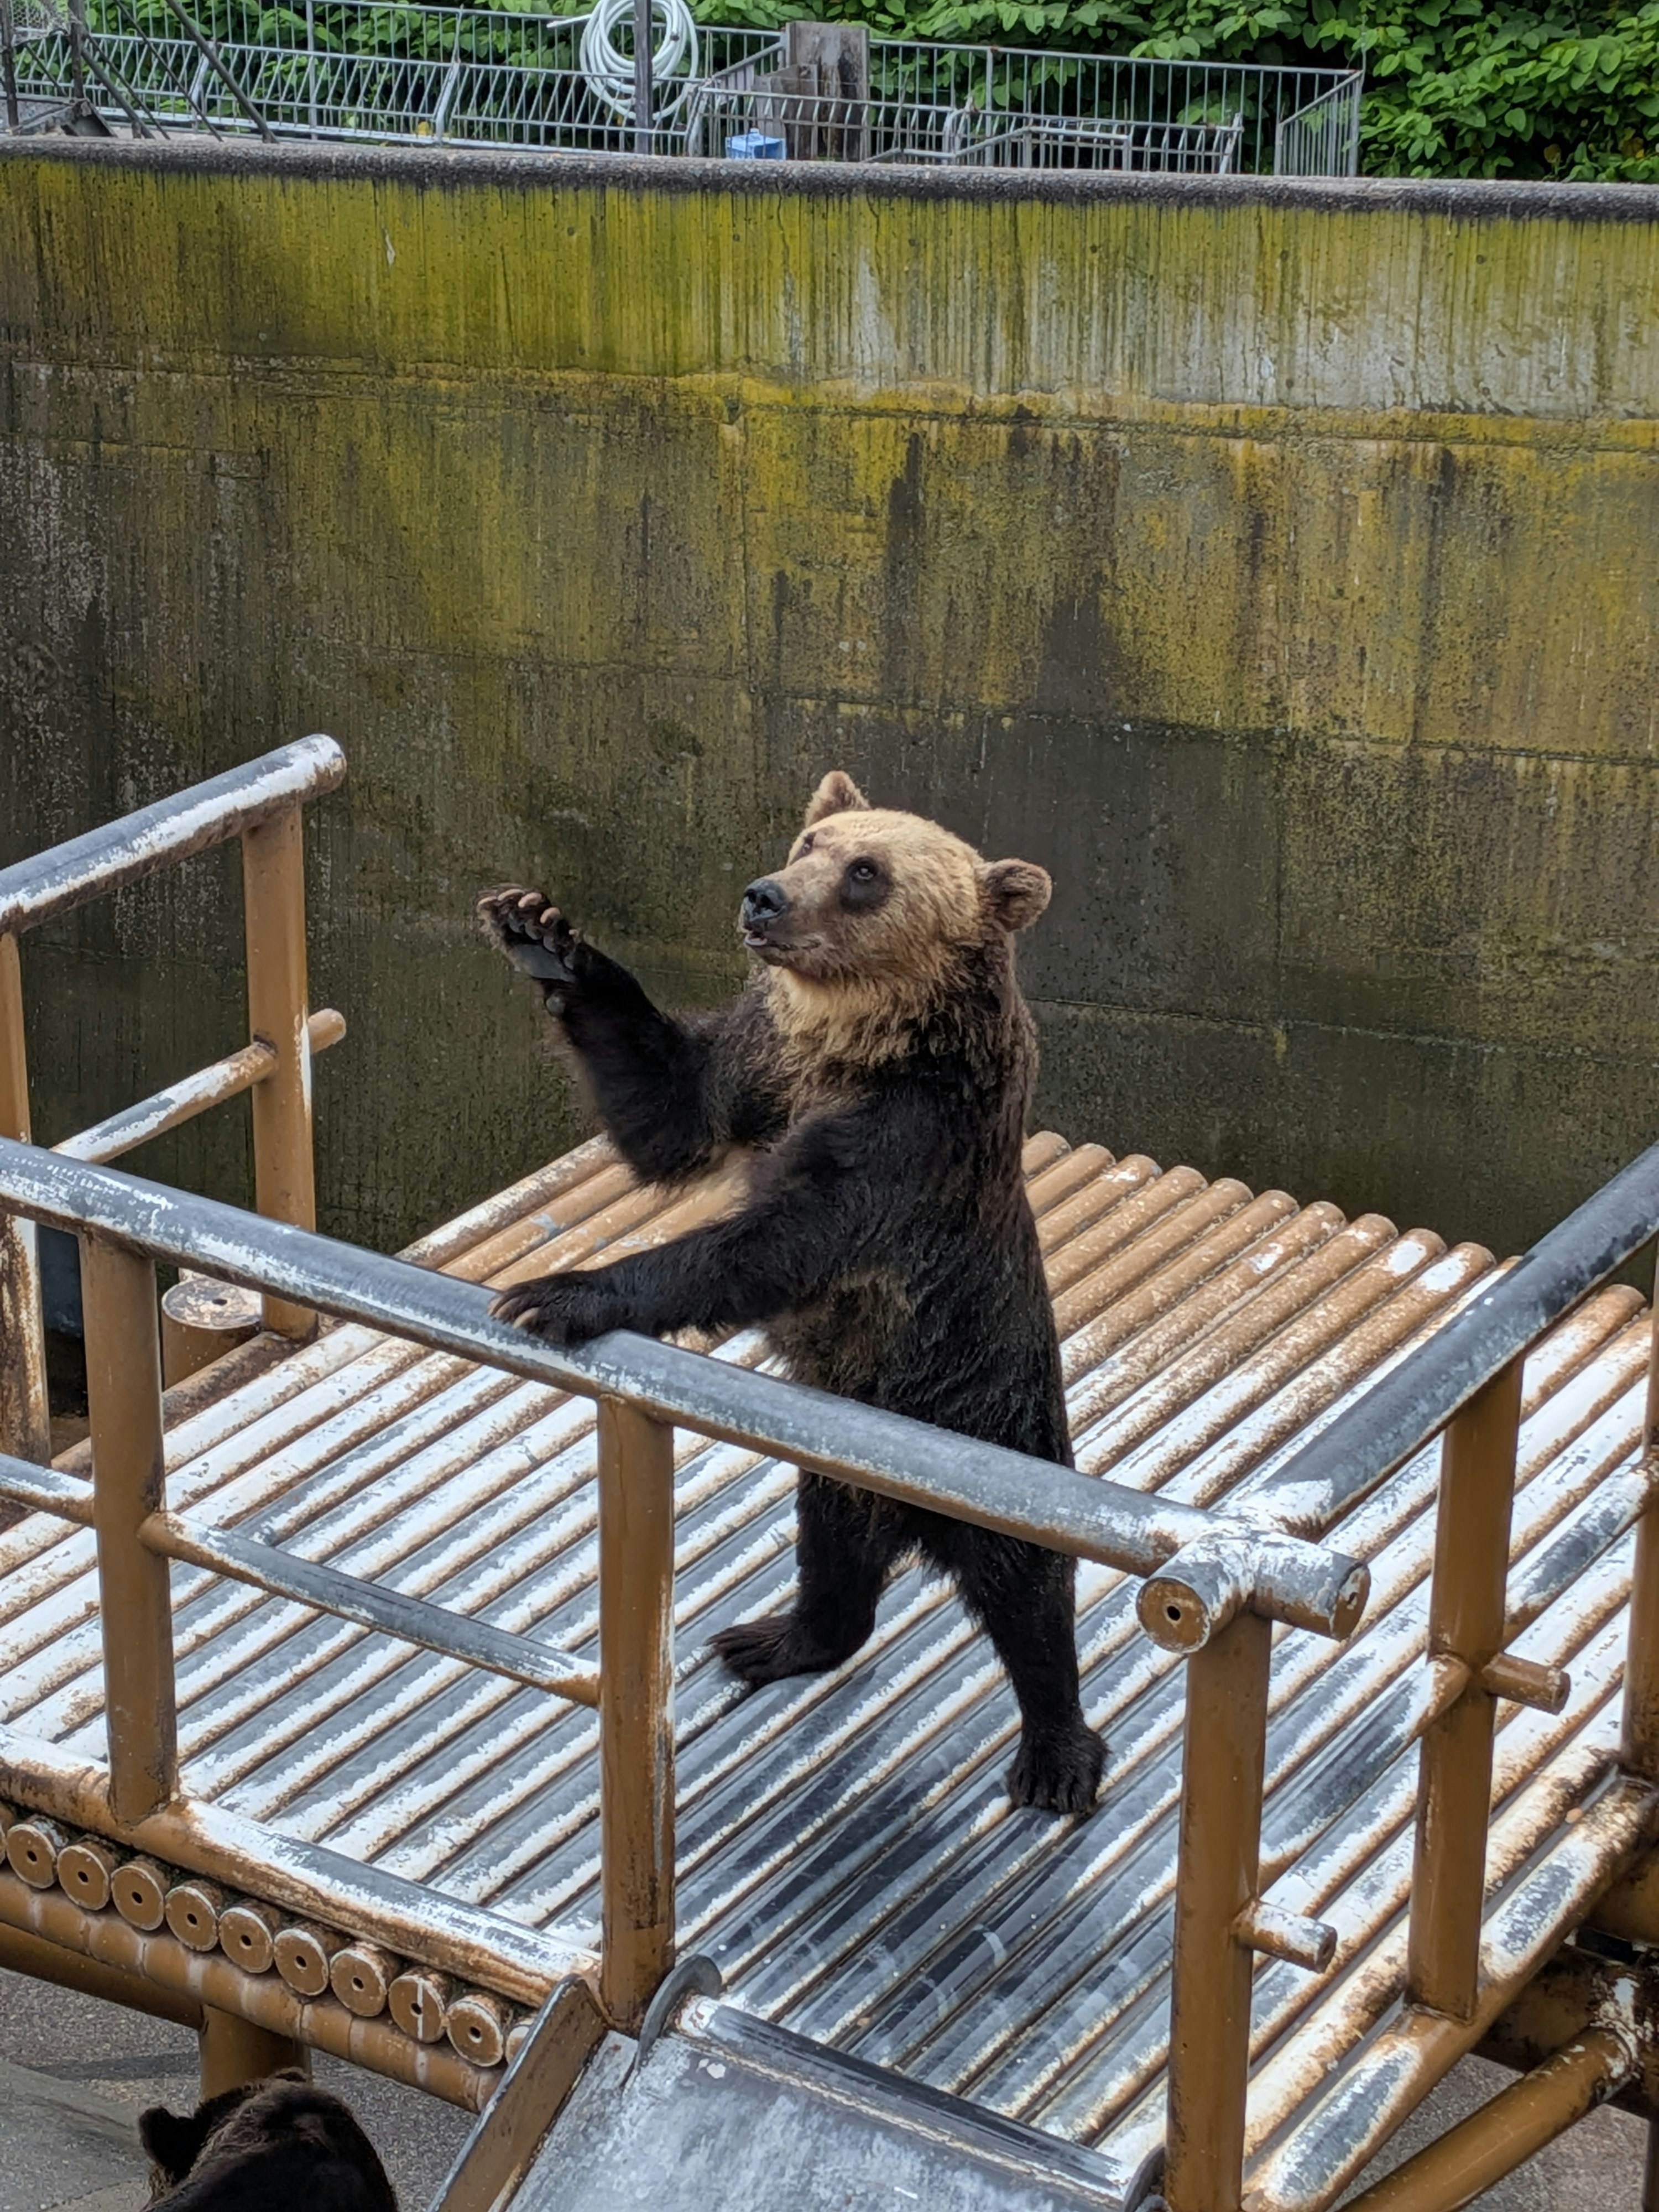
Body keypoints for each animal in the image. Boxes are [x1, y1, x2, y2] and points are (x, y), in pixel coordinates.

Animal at [476, 770, 1104, 1814]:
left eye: (867, 872)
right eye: (812, 839)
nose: (764, 897)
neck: (854, 1042)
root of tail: (907, 1513)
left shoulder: (907, 1145)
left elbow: (772, 1244)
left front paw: (558, 1292)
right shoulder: (760, 1068)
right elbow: (670, 1109)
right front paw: (538, 929)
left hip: (985, 1422)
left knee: (1026, 1589)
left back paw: (1058, 1755)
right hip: (831, 1459)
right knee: (831, 1552)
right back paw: (770, 1638)